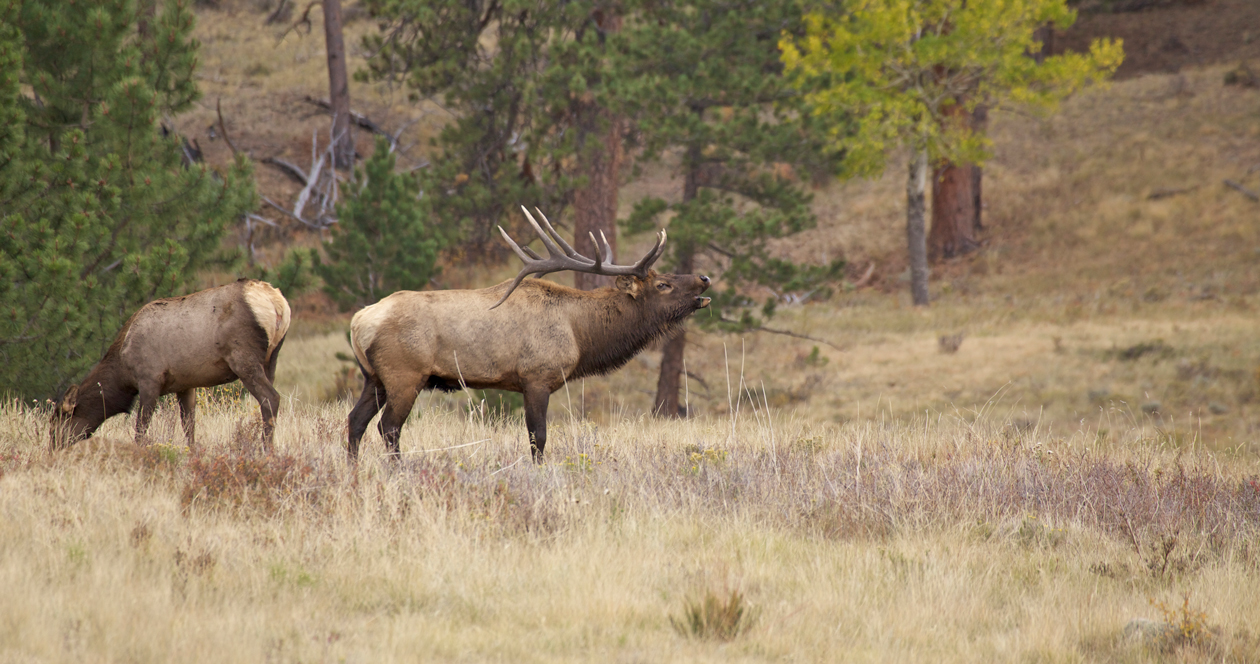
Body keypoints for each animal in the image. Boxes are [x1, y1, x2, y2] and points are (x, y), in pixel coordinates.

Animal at [49, 279, 291, 452]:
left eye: (57, 422)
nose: (52, 450)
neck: (122, 372)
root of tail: (277, 303)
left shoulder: (149, 379)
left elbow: (141, 427)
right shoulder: (185, 385)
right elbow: (189, 426)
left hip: (243, 357)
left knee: (271, 398)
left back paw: (266, 451)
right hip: (272, 359)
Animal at [347, 207, 711, 462]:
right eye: (662, 284)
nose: (704, 278)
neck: (582, 336)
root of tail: (358, 321)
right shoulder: (537, 377)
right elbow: (539, 438)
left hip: (373, 378)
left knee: (355, 422)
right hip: (404, 374)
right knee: (388, 427)